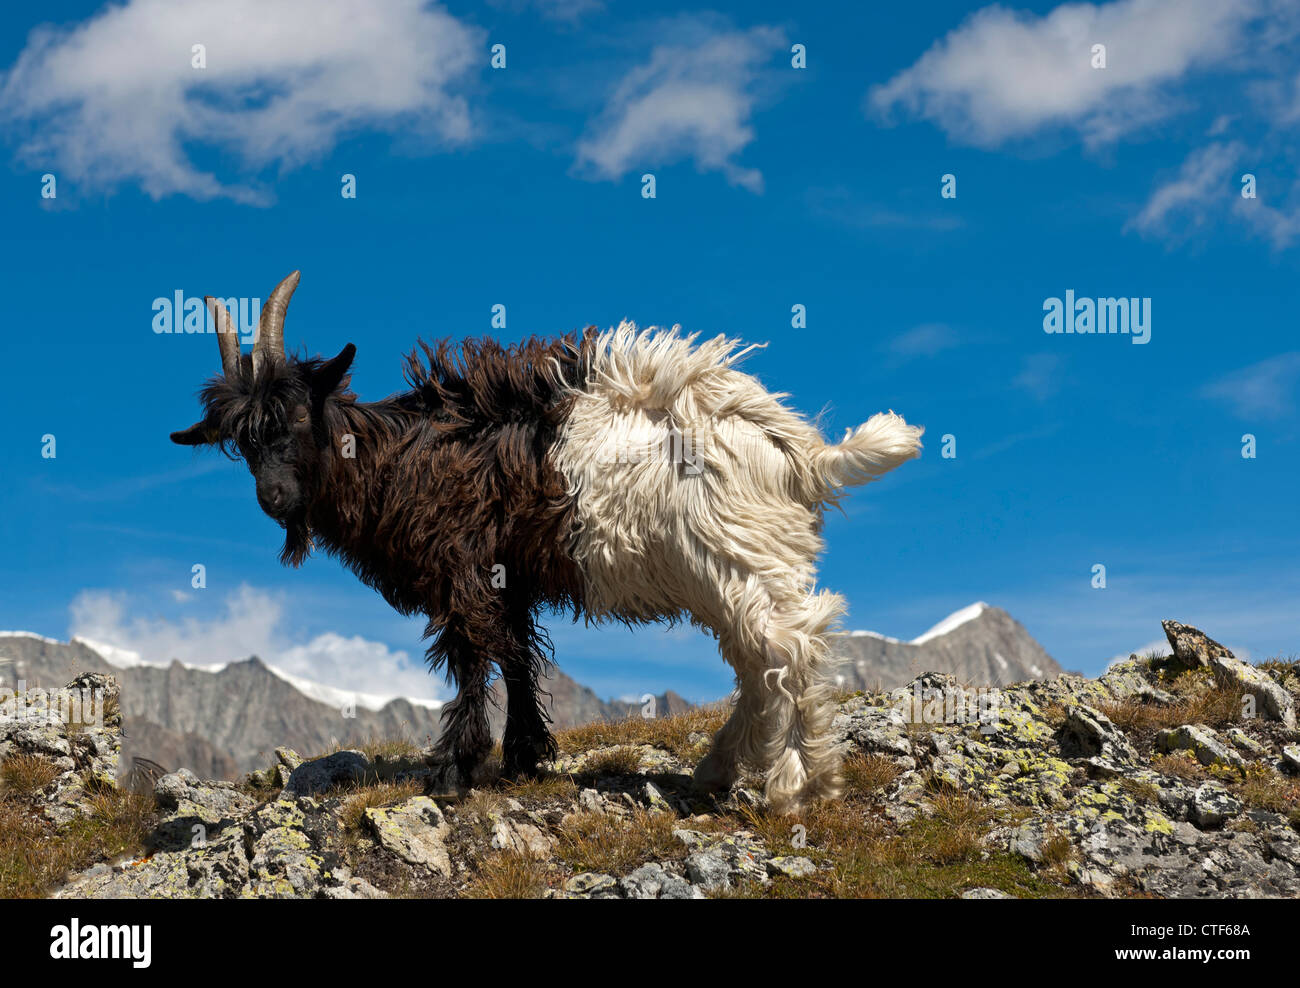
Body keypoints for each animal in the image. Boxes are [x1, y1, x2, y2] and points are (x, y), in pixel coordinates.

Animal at [170, 271, 923, 813]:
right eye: (240, 440)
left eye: (299, 417)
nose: (274, 499)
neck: (399, 459)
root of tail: (798, 452)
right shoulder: (509, 574)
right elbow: (515, 654)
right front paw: (525, 755)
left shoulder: (462, 566)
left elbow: (472, 655)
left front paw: (456, 769)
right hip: (730, 572)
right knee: (758, 661)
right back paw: (721, 769)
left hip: (738, 558)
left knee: (788, 650)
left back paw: (797, 787)